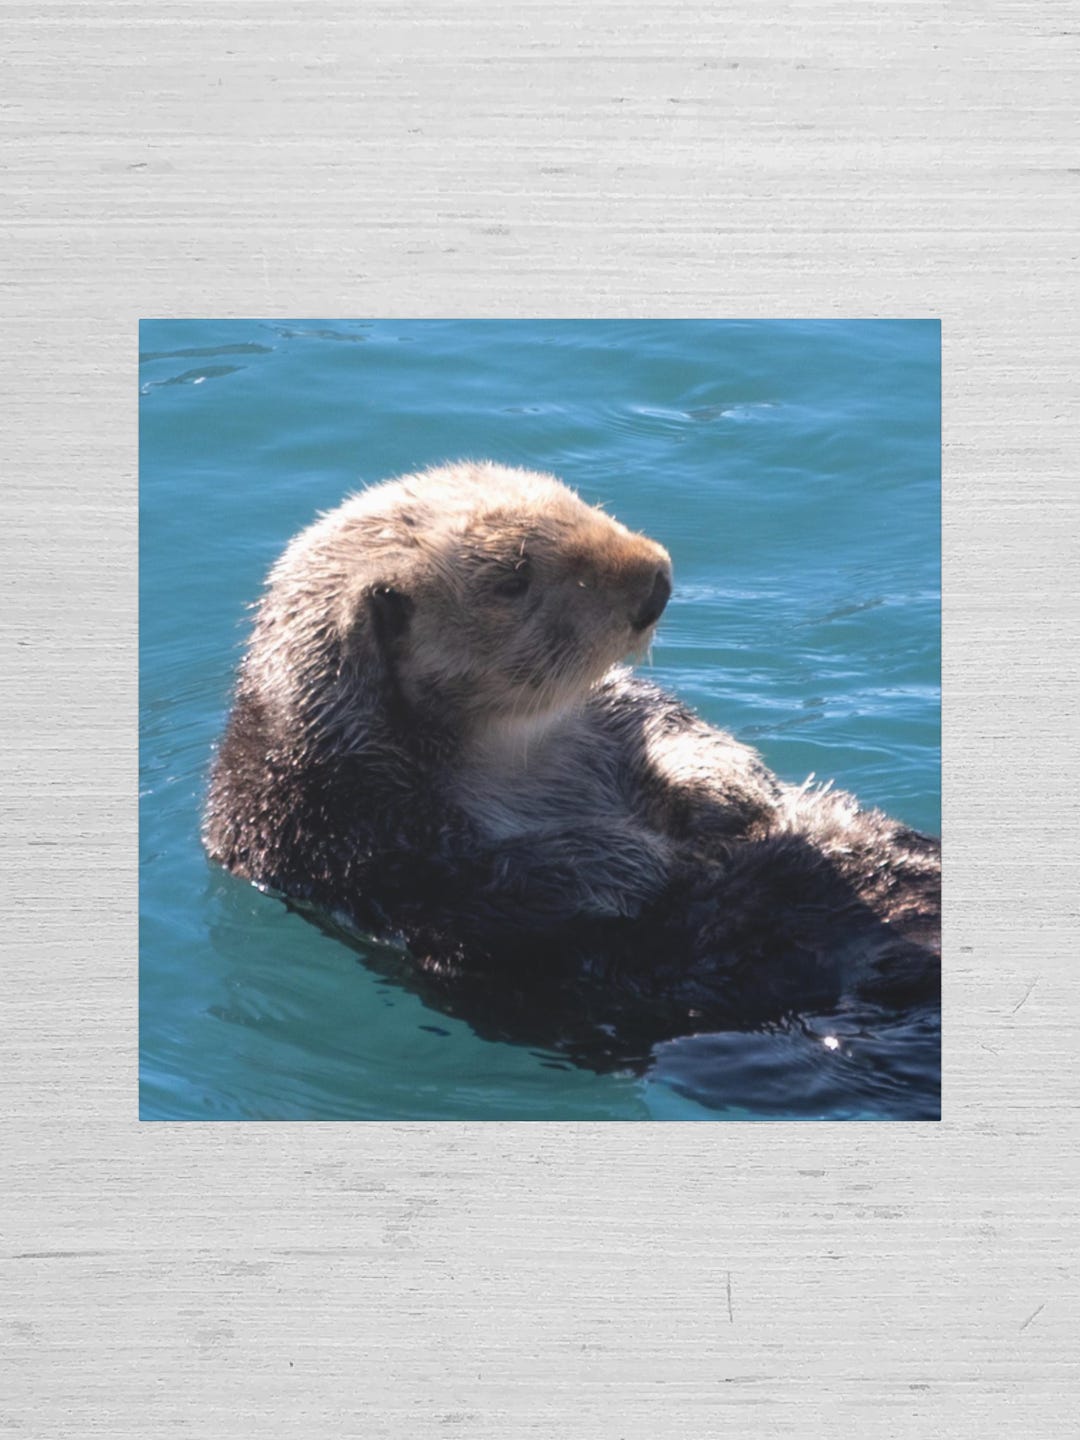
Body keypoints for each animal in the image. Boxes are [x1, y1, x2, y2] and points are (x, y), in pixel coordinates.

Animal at [204, 461, 940, 1062]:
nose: (656, 581)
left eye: (576, 499)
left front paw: (727, 793)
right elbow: (495, 883)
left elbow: (672, 725)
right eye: (513, 579)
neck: (510, 747)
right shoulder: (351, 840)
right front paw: (645, 861)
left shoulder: (608, 711)